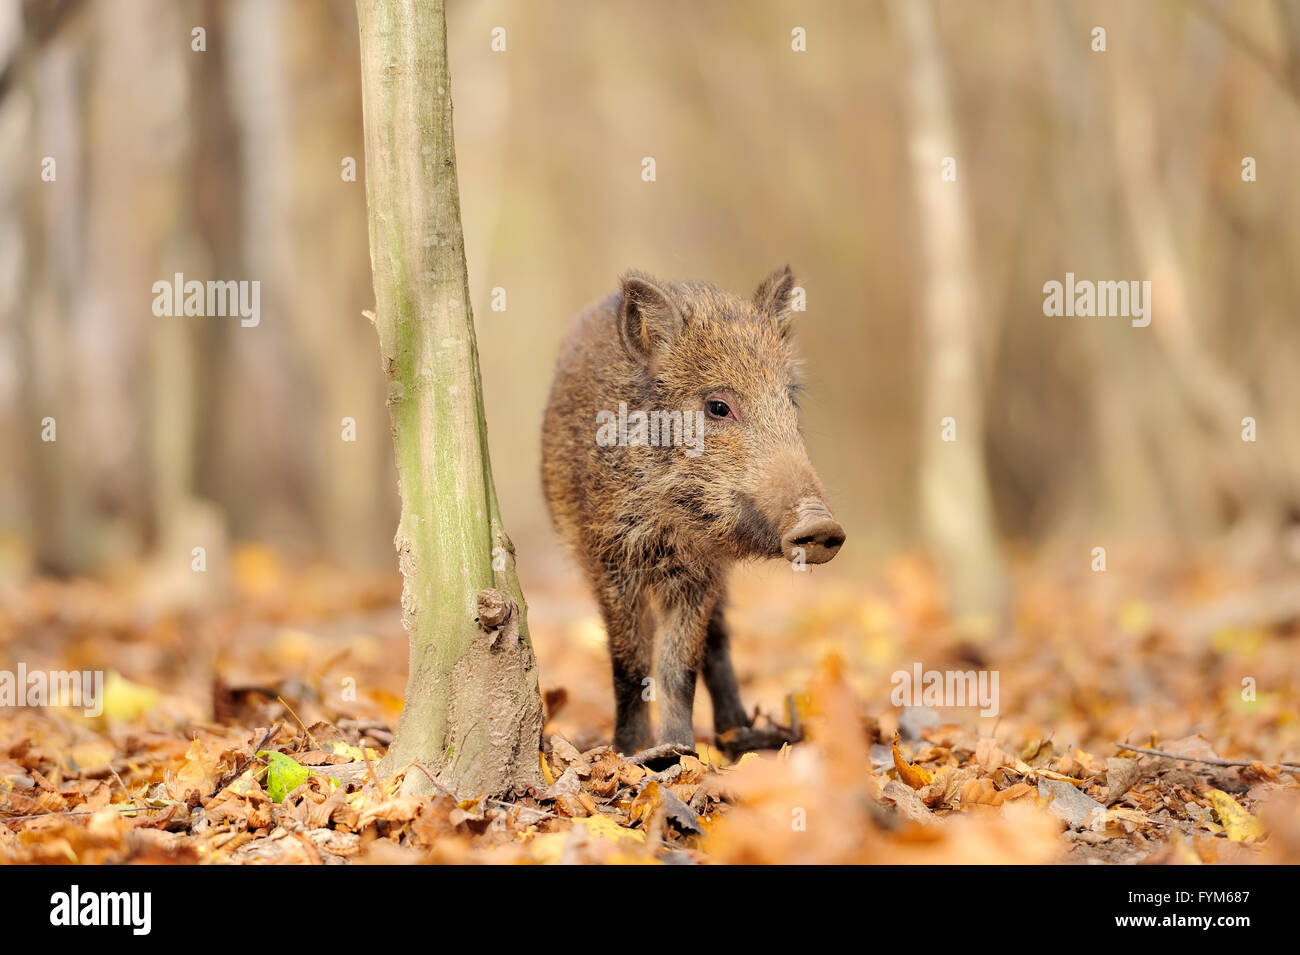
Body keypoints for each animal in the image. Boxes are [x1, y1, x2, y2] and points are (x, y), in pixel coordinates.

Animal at [541, 268, 844, 758]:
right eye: (718, 406)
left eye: (790, 402)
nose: (821, 523)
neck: (669, 523)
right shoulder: (607, 558)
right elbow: (630, 662)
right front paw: (633, 753)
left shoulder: (702, 570)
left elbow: (680, 665)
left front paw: (680, 752)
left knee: (717, 641)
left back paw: (741, 736)